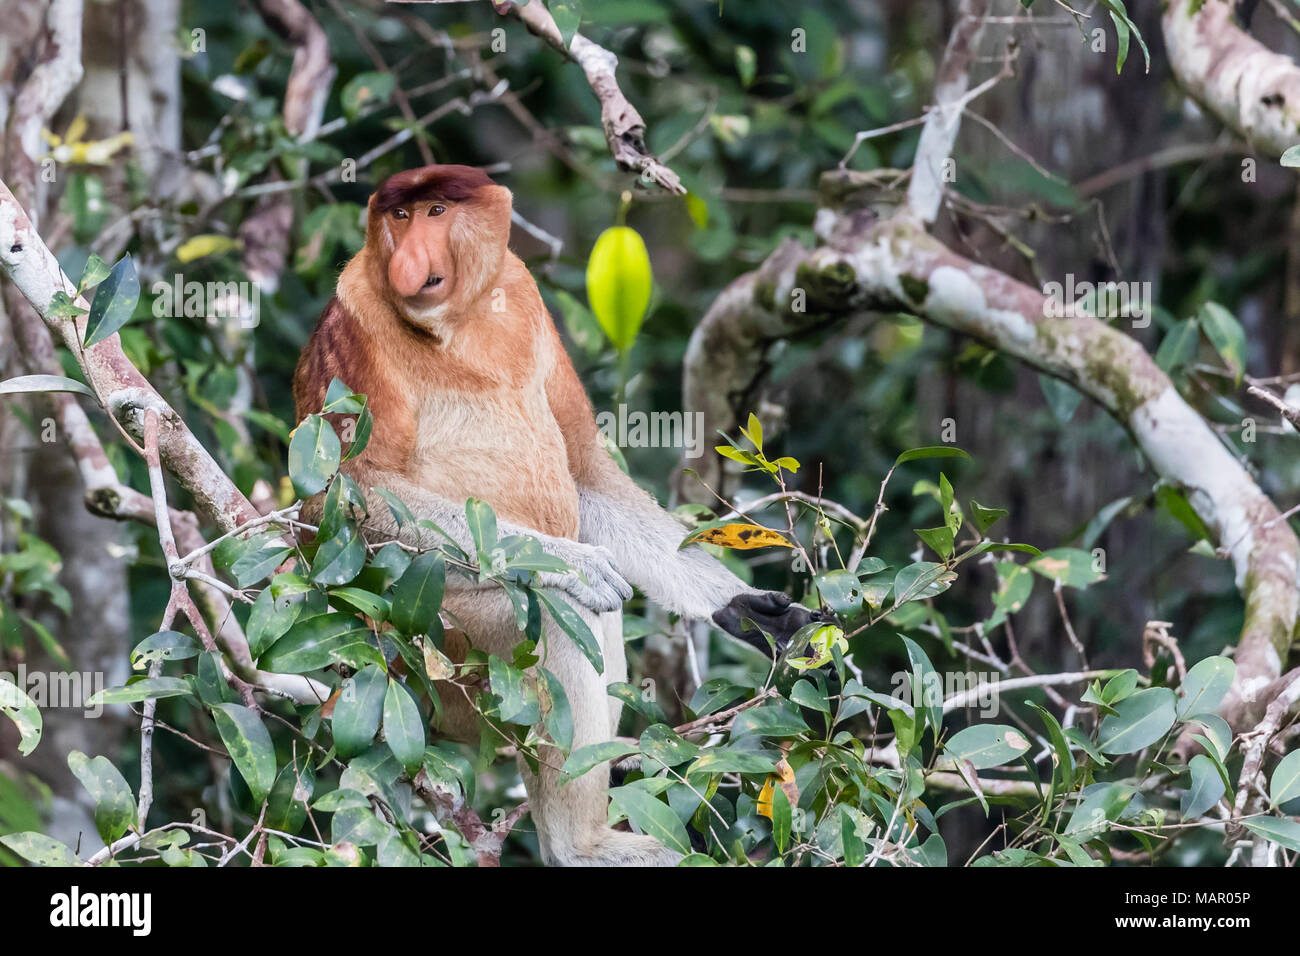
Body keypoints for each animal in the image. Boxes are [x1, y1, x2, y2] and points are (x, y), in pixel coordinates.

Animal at [293, 164, 814, 866]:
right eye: (397, 217)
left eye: (434, 211)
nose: (405, 260)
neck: (461, 320)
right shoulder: (354, 327)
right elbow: (344, 494)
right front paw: (577, 564)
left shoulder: (521, 291)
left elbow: (585, 471)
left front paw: (753, 614)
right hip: (438, 650)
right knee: (566, 617)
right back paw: (581, 841)